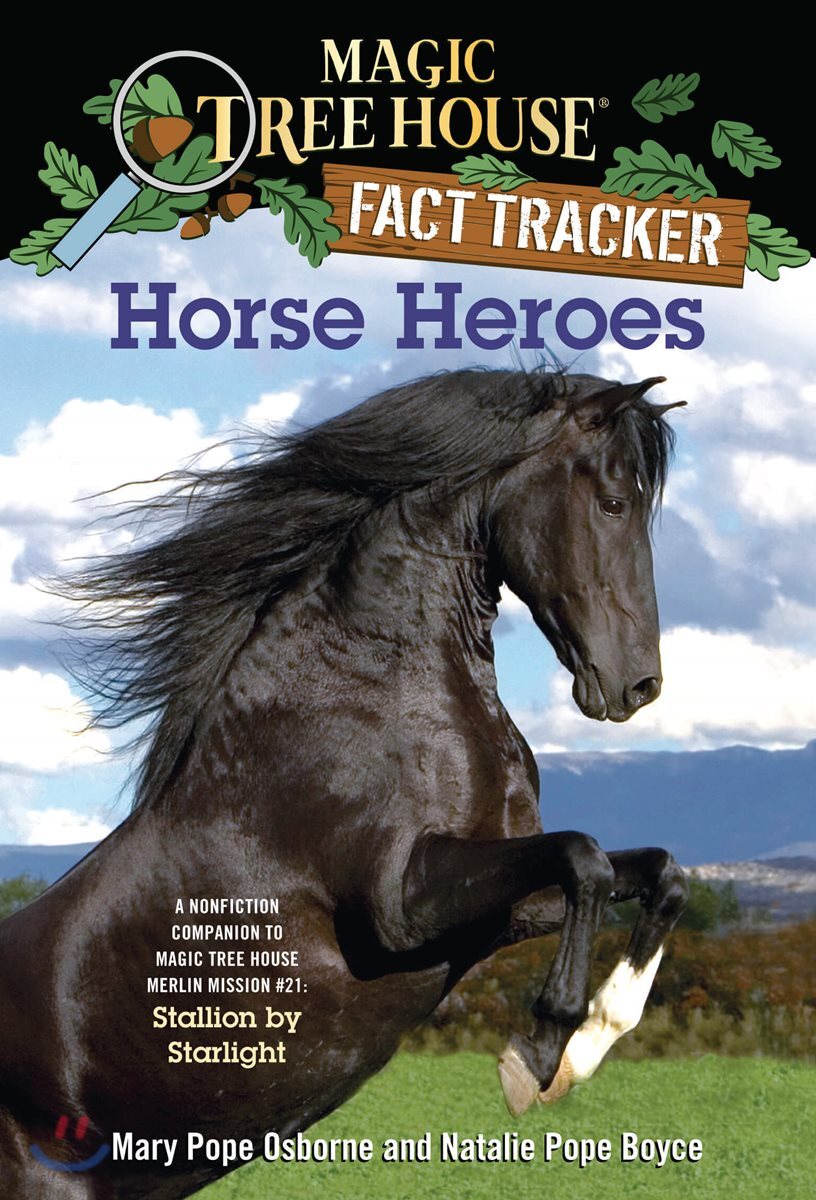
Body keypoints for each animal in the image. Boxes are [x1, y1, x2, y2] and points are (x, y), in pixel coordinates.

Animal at [0, 366, 688, 1198]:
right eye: (613, 502)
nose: (638, 685)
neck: (367, 688)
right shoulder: (400, 906)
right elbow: (585, 858)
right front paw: (536, 1060)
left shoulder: (512, 907)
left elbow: (655, 874)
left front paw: (586, 1047)